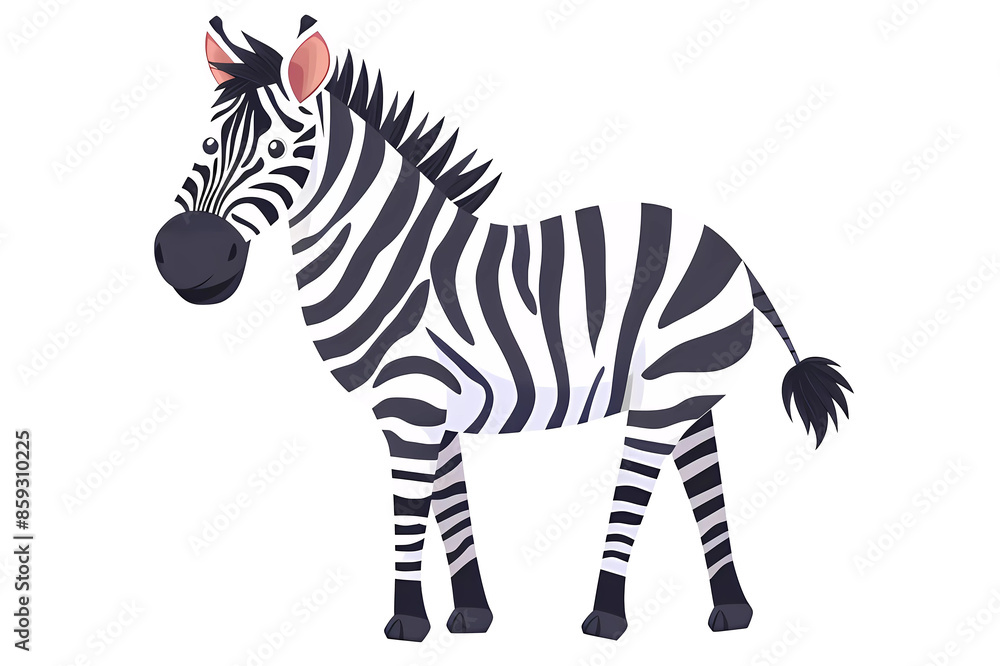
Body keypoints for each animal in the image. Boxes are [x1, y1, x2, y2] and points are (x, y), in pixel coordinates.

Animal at [153, 16, 852, 642]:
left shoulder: (410, 404)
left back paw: (606, 618)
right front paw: (470, 616)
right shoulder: (432, 407)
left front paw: (407, 624)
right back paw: (731, 611)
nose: (184, 255)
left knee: (637, 492)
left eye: (278, 150)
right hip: (685, 386)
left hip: (662, 392)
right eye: (209, 143)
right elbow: (452, 509)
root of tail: (729, 249)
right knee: (705, 484)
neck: (391, 254)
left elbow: (410, 515)